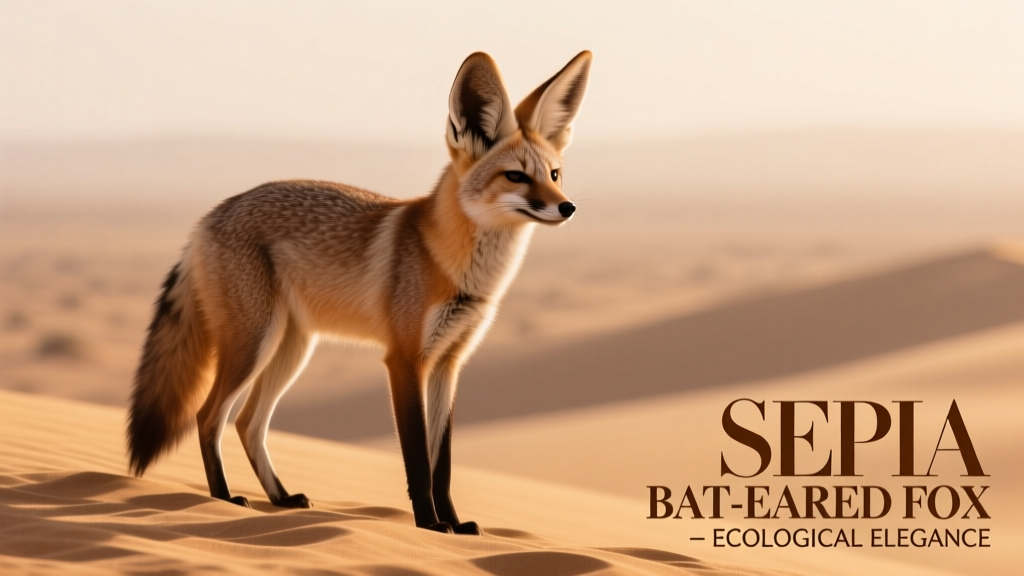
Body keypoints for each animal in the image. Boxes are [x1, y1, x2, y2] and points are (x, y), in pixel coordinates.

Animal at [126, 51, 592, 534]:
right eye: (516, 176)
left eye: (555, 174)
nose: (567, 207)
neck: (458, 271)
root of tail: (209, 217)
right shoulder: (404, 359)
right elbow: (417, 461)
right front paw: (429, 525)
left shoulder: (449, 363)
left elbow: (442, 465)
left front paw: (455, 524)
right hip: (254, 346)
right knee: (209, 417)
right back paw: (224, 499)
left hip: (291, 350)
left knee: (248, 424)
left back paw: (280, 498)